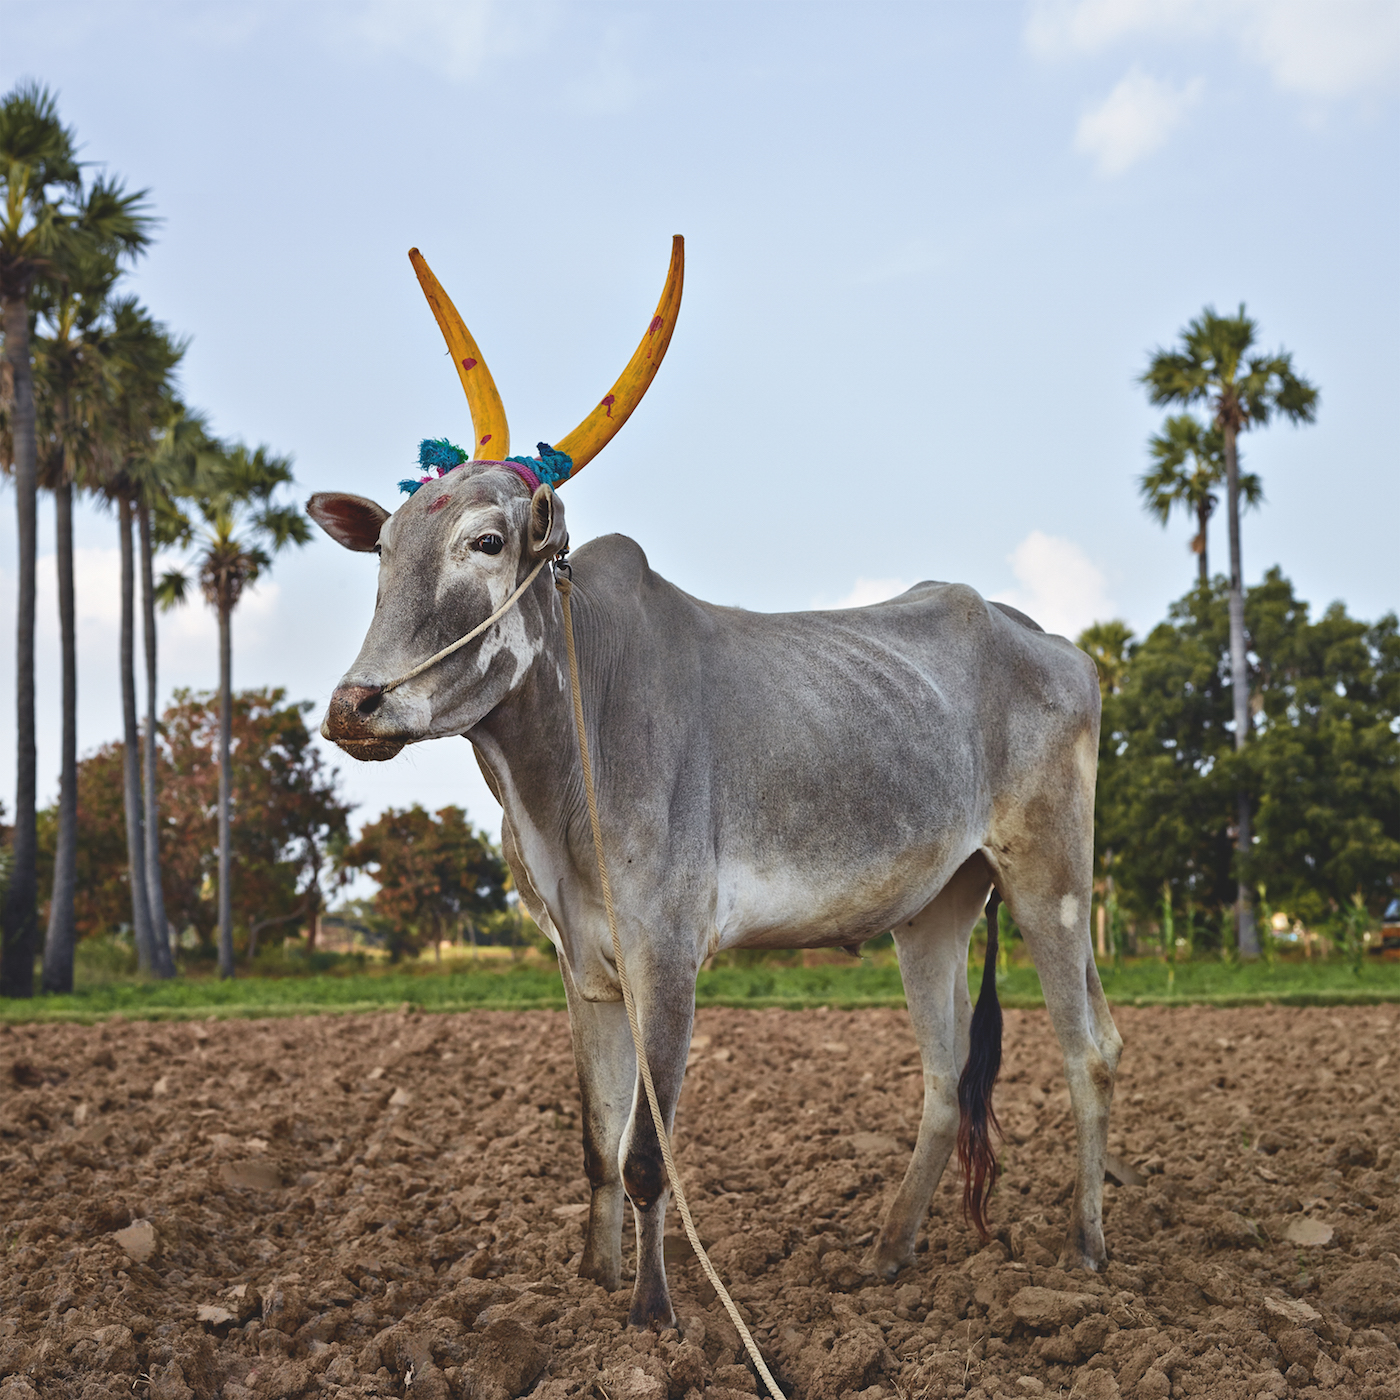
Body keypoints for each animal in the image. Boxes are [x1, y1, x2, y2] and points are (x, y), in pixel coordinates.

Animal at [309, 237, 1123, 1329]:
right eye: (385, 548)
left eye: (486, 541)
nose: (355, 705)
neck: (564, 766)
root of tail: (1048, 640)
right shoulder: (581, 965)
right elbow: (596, 1144)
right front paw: (591, 1286)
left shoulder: (668, 955)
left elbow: (647, 1155)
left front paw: (653, 1316)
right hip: (935, 907)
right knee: (945, 1072)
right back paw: (886, 1252)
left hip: (1050, 874)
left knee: (1088, 1049)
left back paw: (1084, 1252)